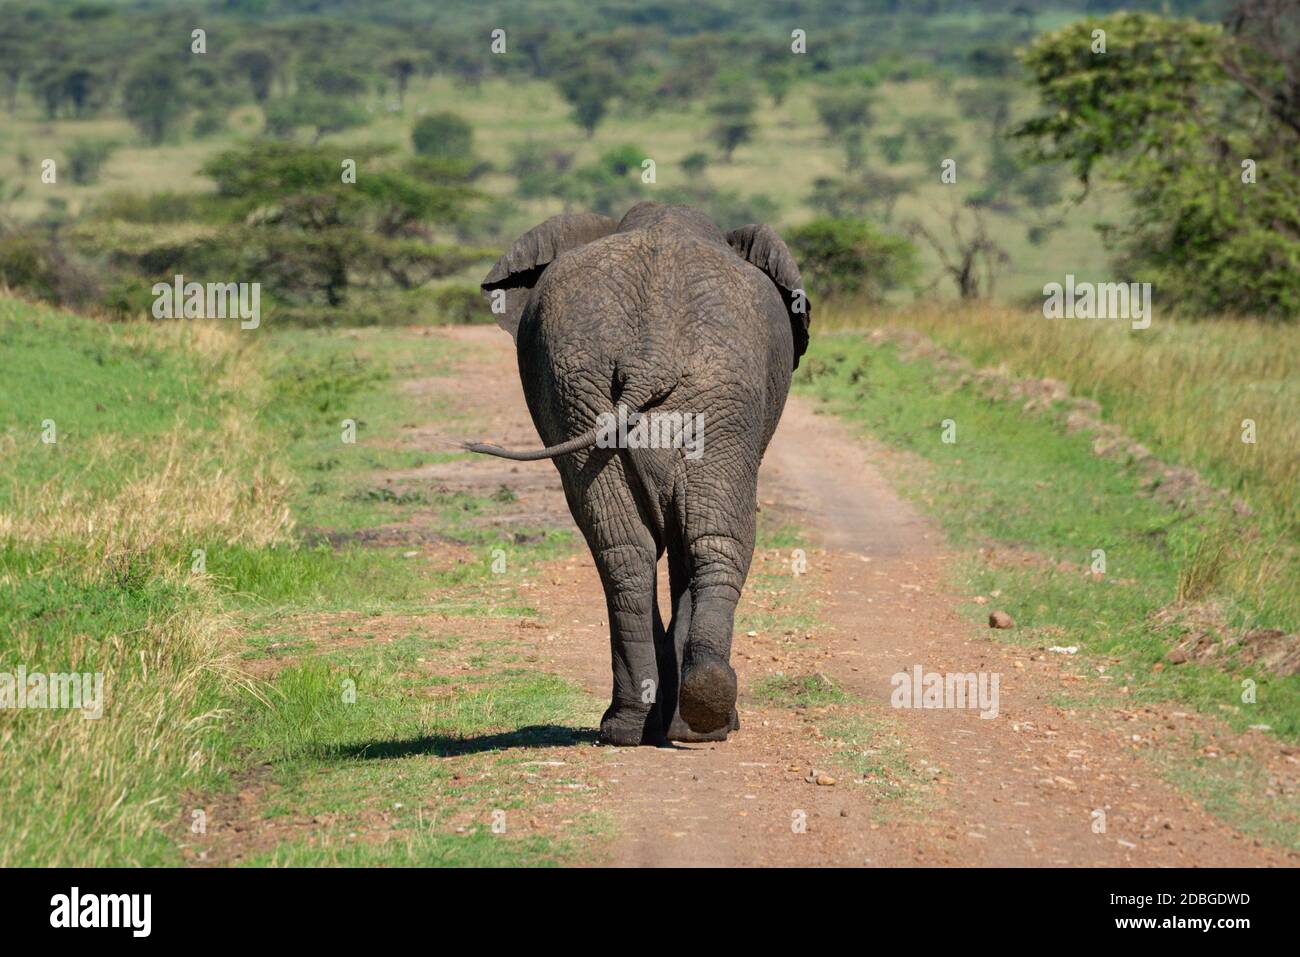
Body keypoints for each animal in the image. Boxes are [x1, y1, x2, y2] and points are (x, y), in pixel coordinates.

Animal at [466, 201, 810, 746]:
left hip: (635, 397)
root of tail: (651, 354)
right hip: (691, 398)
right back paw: (694, 724)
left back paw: (645, 724)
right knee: (703, 540)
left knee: (637, 547)